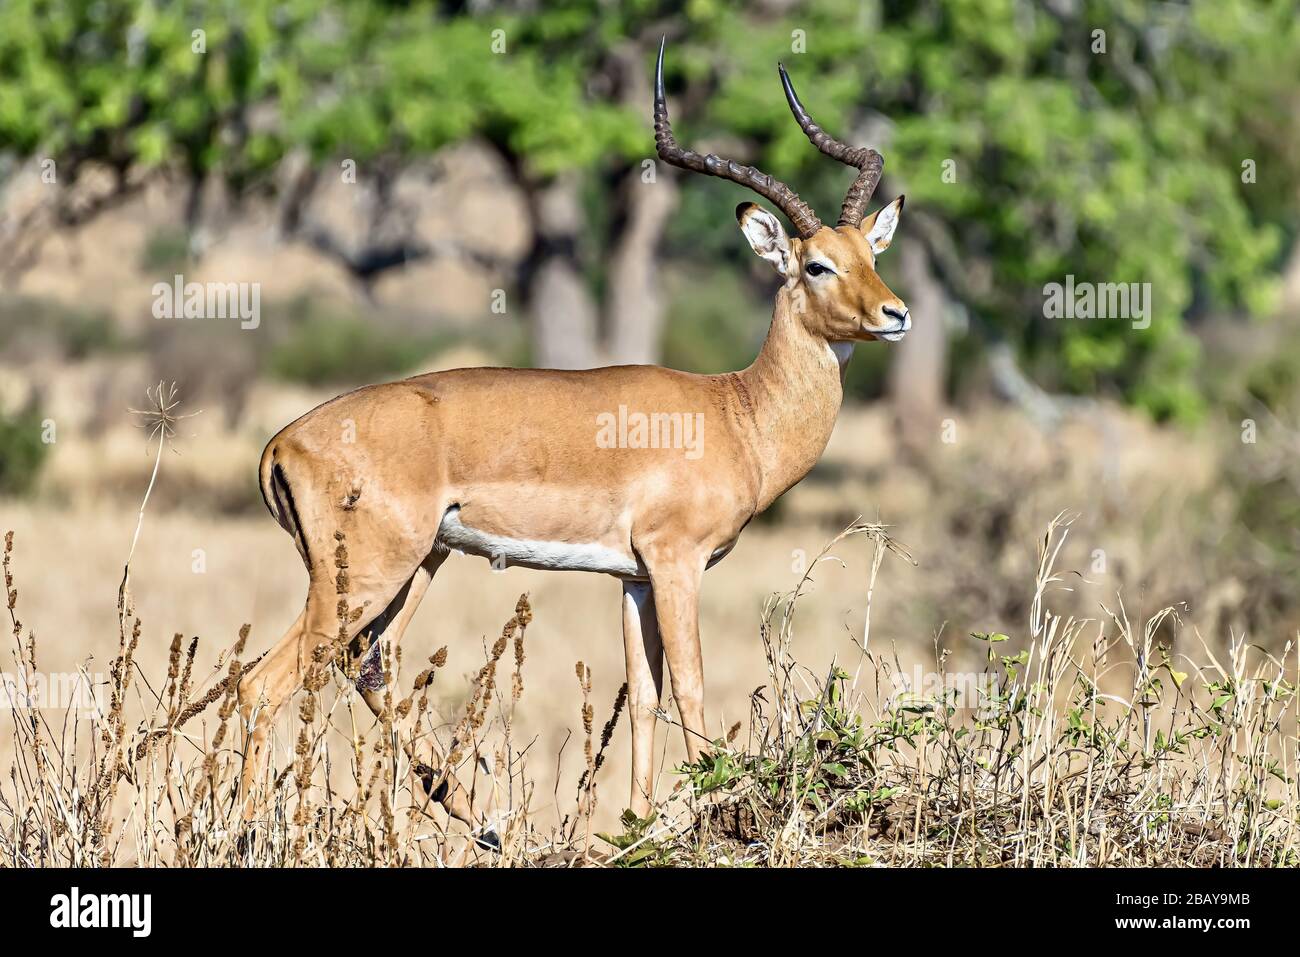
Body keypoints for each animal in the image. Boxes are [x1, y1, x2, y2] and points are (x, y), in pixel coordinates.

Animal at [238, 40, 908, 848]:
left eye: (869, 254)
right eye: (816, 264)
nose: (896, 313)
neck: (734, 411)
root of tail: (282, 441)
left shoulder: (635, 578)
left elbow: (645, 697)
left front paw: (638, 827)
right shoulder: (678, 565)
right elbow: (690, 685)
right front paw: (714, 807)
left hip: (418, 565)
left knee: (370, 668)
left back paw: (490, 825)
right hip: (363, 576)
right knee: (261, 683)